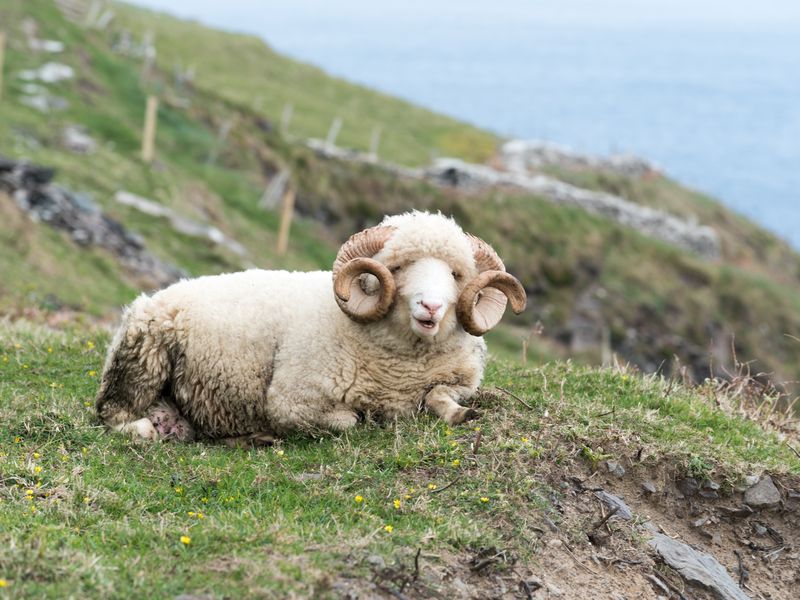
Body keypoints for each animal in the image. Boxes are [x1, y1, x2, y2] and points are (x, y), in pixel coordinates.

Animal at [95, 210, 526, 444]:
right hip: (142, 359)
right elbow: (350, 421)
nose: (431, 306)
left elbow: (441, 395)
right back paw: (146, 429)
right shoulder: (291, 402)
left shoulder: (462, 380)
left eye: (456, 274)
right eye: (399, 266)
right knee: (111, 413)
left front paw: (460, 414)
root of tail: (151, 298)